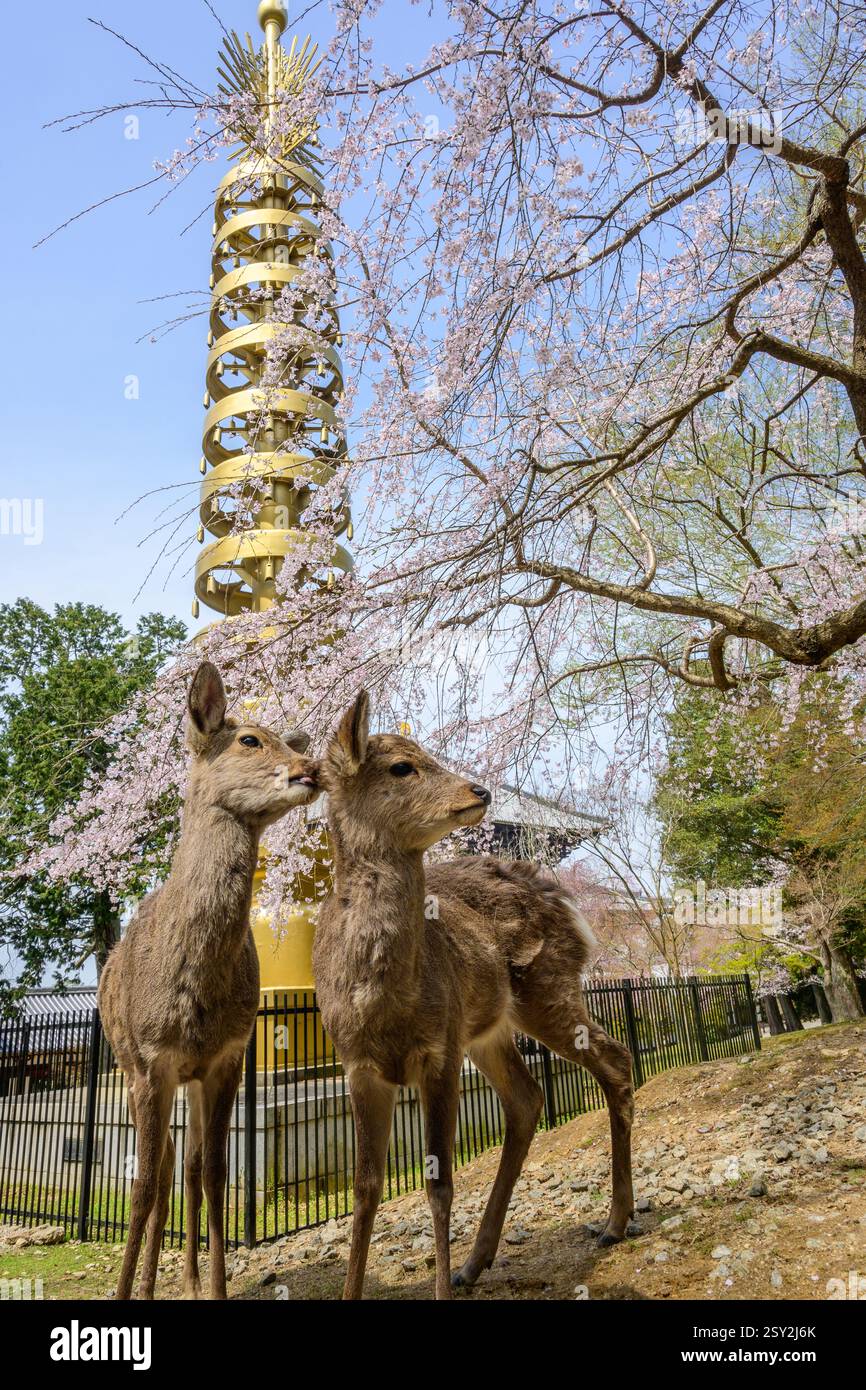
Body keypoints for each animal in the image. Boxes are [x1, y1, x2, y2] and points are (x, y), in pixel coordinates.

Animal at [98, 661, 319, 1300]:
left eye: (282, 738)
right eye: (249, 740)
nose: (310, 767)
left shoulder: (226, 1055)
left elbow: (220, 1173)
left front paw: (215, 1286)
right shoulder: (151, 1060)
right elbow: (142, 1184)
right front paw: (124, 1293)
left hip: (190, 1078)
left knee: (189, 1164)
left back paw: (189, 1278)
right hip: (129, 1066)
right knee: (163, 1166)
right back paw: (148, 1285)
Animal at [313, 691, 636, 1300]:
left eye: (430, 752)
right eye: (402, 767)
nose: (479, 791)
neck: (383, 1001)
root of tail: (564, 899)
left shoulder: (438, 1050)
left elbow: (438, 1183)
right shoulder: (358, 1063)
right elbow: (365, 1187)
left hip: (547, 988)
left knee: (616, 1057)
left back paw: (613, 1222)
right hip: (488, 1030)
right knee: (529, 1097)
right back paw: (475, 1261)